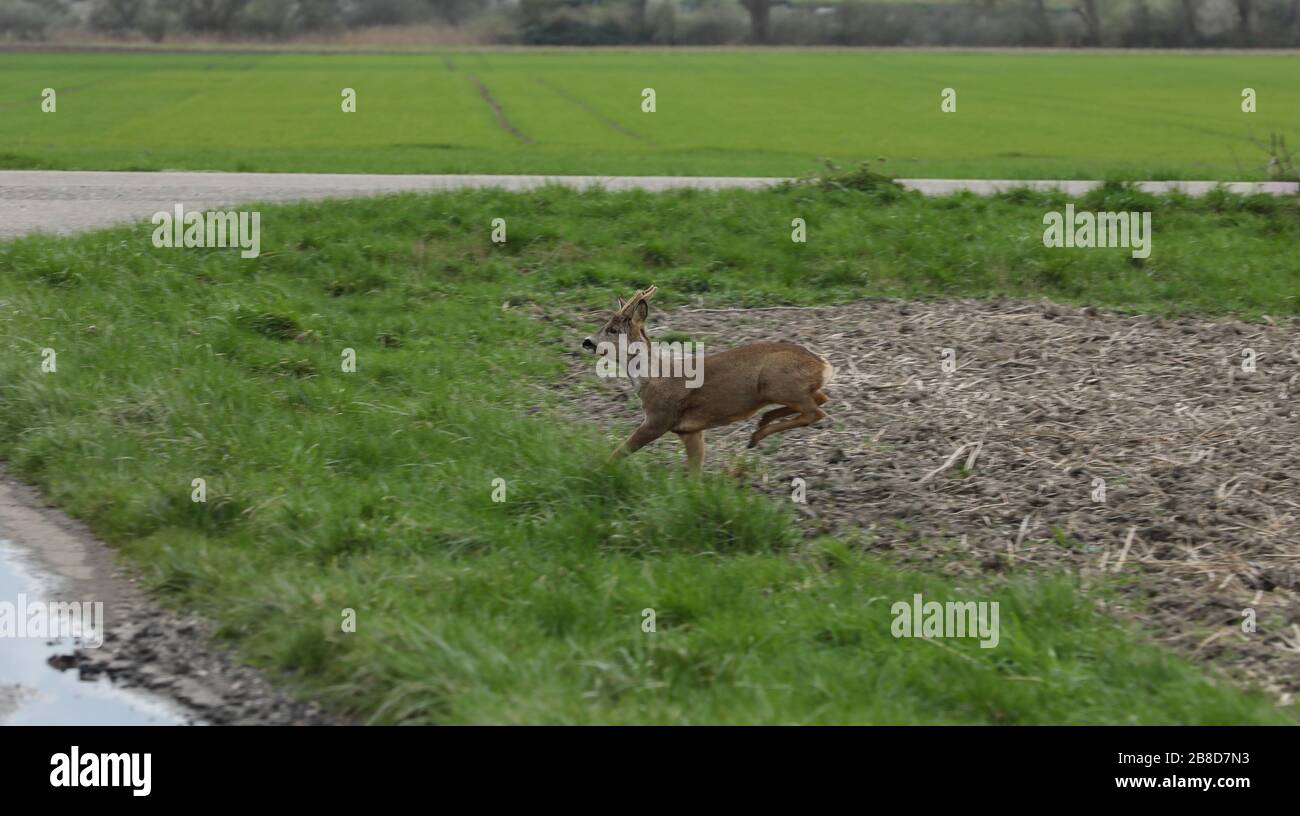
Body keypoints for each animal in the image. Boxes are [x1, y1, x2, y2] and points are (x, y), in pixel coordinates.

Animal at [581, 286, 834, 473]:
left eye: (612, 329)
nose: (587, 342)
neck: (652, 377)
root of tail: (823, 365)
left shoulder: (659, 417)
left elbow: (620, 452)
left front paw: (597, 471)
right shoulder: (689, 431)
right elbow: (695, 470)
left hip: (777, 382)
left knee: (815, 411)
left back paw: (757, 434)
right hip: (787, 387)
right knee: (820, 398)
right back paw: (762, 424)